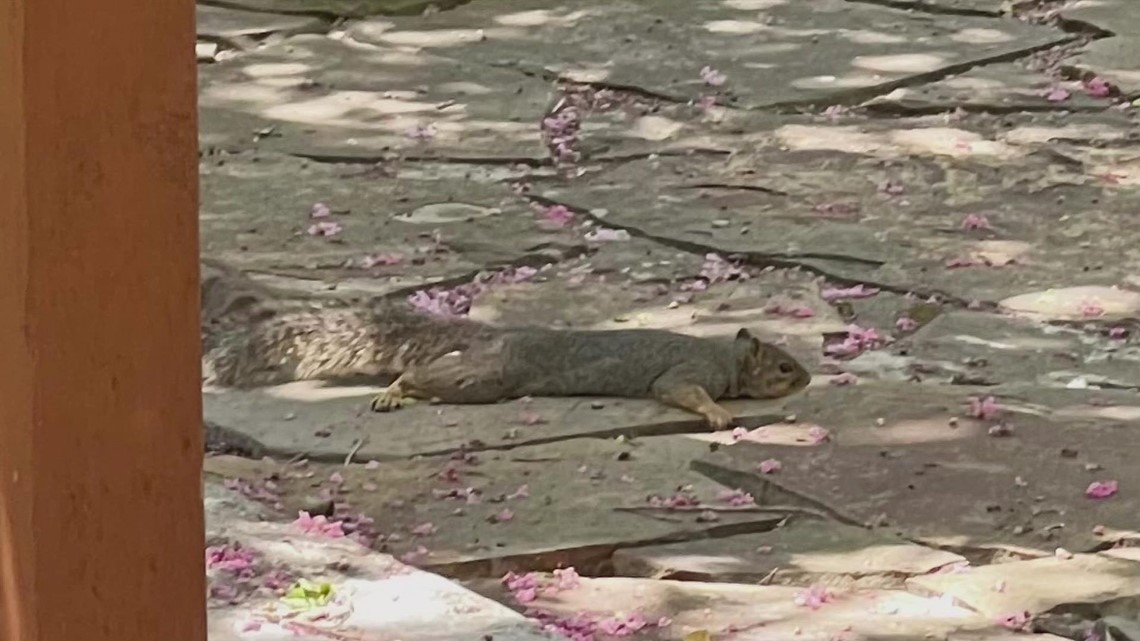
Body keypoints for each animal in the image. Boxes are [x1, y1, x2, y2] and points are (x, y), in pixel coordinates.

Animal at [201, 260, 811, 428]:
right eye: (783, 367)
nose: (806, 380)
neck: (726, 357)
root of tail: (491, 336)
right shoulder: (686, 372)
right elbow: (681, 392)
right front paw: (717, 414)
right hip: (485, 374)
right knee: (417, 374)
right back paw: (394, 392)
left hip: (480, 380)